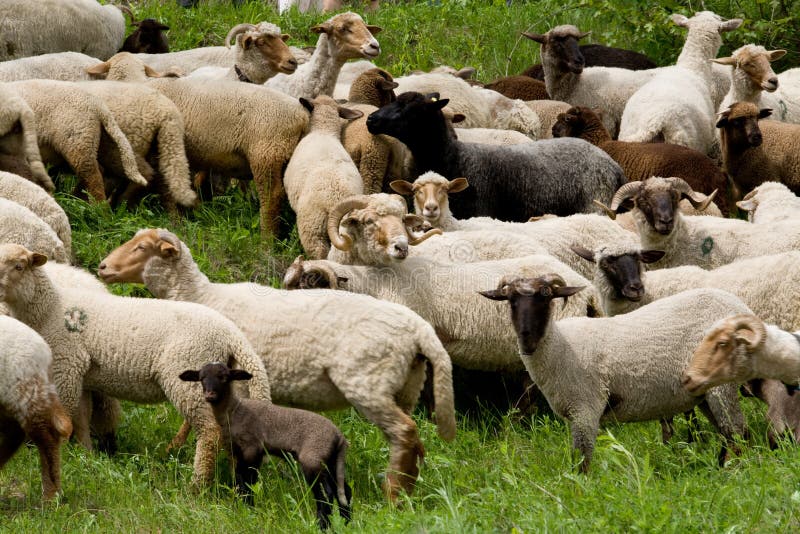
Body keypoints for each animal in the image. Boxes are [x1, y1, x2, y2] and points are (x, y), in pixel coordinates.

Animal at [5, 79, 147, 202]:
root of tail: (97, 105)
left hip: (77, 138)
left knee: (92, 175)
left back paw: (97, 209)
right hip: (91, 141)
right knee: (99, 171)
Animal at [97, 229, 456, 502]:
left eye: (141, 248)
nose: (102, 267)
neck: (201, 297)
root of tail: (420, 330)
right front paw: (173, 449)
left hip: (368, 383)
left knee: (404, 433)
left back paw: (392, 496)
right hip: (407, 386)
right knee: (410, 442)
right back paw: (405, 491)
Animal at [98, 52, 307, 236]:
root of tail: (302, 116)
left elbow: (162, 188)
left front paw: (174, 221)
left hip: (266, 153)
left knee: (272, 197)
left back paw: (267, 239)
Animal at [180, 362, 352, 529]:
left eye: (224, 377)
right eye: (202, 378)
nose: (209, 395)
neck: (233, 410)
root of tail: (339, 436)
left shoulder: (252, 448)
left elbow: (249, 482)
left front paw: (250, 509)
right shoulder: (237, 451)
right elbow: (239, 481)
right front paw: (241, 508)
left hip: (313, 458)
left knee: (325, 494)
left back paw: (322, 526)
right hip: (331, 461)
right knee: (344, 491)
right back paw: (346, 523)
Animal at [483, 275, 748, 471]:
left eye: (546, 296)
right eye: (510, 300)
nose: (526, 338)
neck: (560, 345)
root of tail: (741, 308)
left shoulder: (586, 408)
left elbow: (582, 461)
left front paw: (580, 493)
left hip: (722, 384)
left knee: (736, 432)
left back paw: (733, 472)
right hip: (704, 392)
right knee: (728, 434)